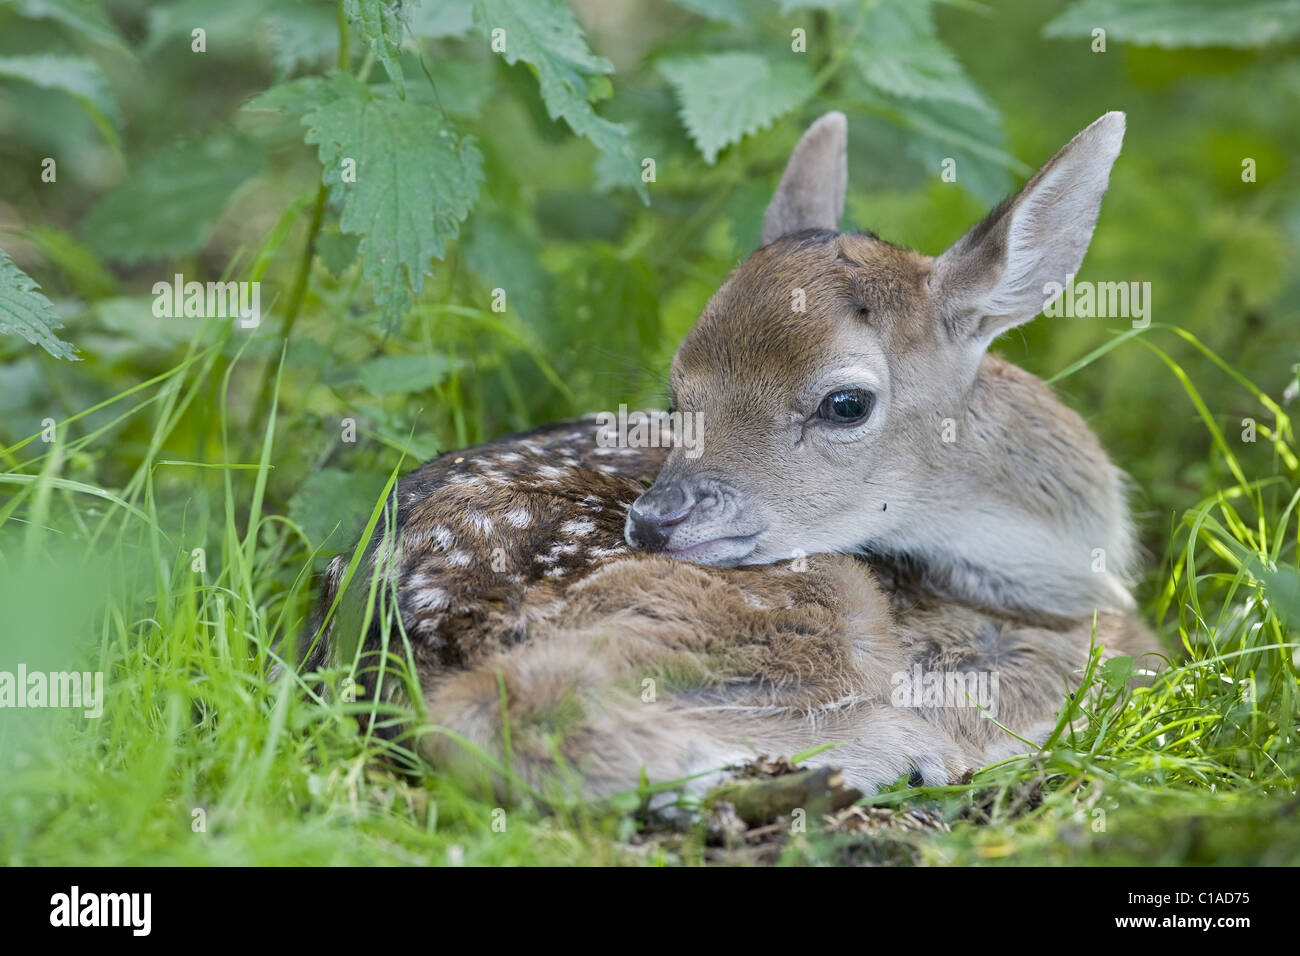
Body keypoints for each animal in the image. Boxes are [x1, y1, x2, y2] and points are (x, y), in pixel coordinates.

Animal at [302, 111, 1162, 802]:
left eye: (845, 403)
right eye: (678, 392)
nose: (652, 521)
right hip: (786, 600)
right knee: (509, 712)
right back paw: (871, 759)